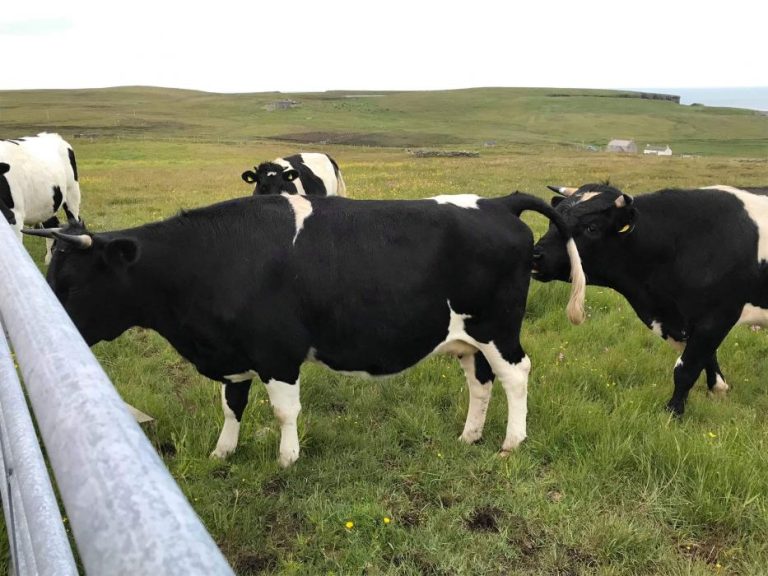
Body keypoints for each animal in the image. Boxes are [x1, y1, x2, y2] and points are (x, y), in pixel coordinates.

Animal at [1, 132, 83, 264]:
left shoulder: (16, 214)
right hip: (47, 203)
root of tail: (53, 135)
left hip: (72, 193)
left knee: (75, 220)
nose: (9, 216)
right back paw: (49, 259)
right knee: (51, 224)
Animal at [30, 192, 585, 467]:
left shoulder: (277, 351)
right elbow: (231, 404)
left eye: (73, 283)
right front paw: (222, 453)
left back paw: (512, 443)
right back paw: (469, 436)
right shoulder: (234, 354)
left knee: (516, 374)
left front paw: (287, 459)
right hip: (467, 338)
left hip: (497, 328)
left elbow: (283, 411)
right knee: (480, 381)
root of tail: (499, 201)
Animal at [532, 182, 768, 416]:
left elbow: (686, 368)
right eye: (553, 220)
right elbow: (706, 357)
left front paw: (673, 413)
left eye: (592, 227)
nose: (535, 255)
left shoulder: (717, 317)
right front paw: (718, 389)